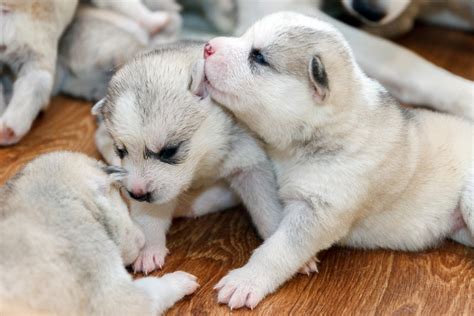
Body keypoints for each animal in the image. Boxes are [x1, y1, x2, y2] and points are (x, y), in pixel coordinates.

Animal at [92, 42, 286, 274]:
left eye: (169, 151)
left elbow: (265, 204)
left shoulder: (248, 160)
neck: (202, 161)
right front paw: (149, 248)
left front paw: (276, 237)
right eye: (121, 151)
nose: (136, 193)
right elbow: (149, 213)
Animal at [204, 11, 474, 308]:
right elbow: (267, 213)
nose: (207, 47)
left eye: (259, 57)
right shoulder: (262, 173)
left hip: (469, 200)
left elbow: (278, 249)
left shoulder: (320, 211)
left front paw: (246, 280)